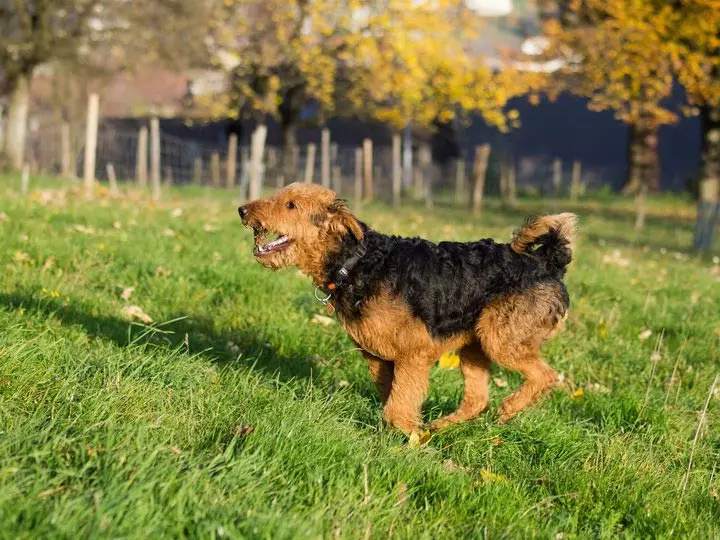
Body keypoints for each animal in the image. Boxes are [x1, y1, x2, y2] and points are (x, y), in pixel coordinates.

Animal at [239, 184, 576, 436]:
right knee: (477, 399)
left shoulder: (412, 353)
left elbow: (397, 403)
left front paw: (410, 437)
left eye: (291, 205)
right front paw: (405, 432)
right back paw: (440, 427)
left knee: (545, 376)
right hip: (474, 345)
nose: (242, 210)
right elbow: (391, 395)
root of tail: (549, 263)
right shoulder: (376, 356)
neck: (357, 262)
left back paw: (506, 411)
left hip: (500, 340)